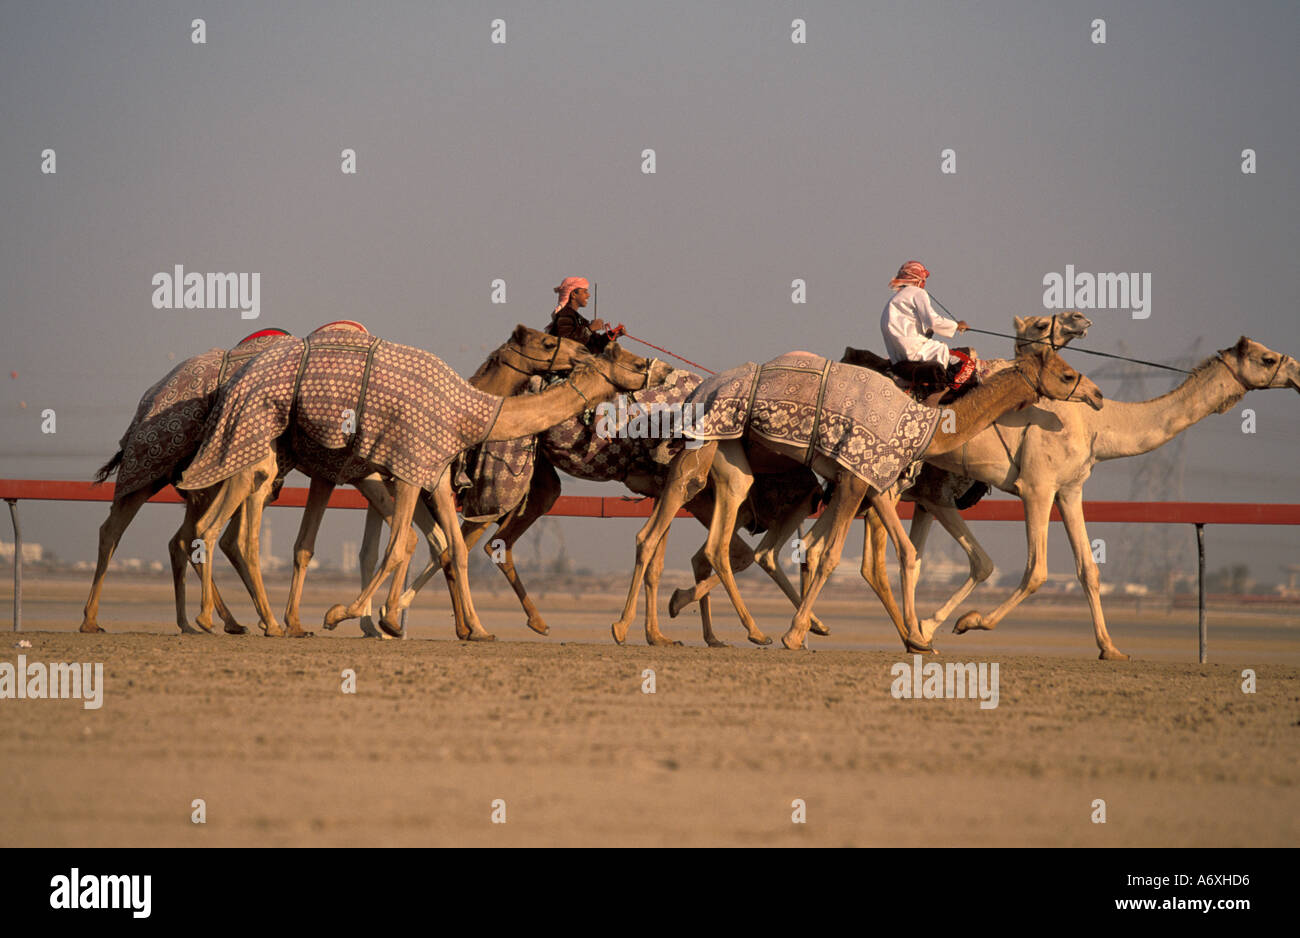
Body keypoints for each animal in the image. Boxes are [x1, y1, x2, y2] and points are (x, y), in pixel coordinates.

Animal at [178, 334, 672, 639]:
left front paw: (475, 629)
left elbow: (448, 546)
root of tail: (237, 380)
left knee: (219, 527)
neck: (470, 410)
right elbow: (404, 544)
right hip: (254, 441)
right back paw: (224, 620)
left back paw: (261, 621)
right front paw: (352, 615)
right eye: (630, 360)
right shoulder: (412, 466)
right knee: (221, 529)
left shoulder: (431, 476)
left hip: (269, 457)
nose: (662, 368)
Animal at [616, 344, 1104, 650]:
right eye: (1066, 373)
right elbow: (834, 556)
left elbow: (887, 554)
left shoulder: (867, 481)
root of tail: (700, 388)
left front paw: (916, 639)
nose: (1096, 394)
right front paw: (797, 635)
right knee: (667, 522)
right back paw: (630, 628)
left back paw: (742, 629)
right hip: (705, 444)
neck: (926, 424)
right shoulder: (855, 475)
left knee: (719, 541)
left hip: (731, 453)